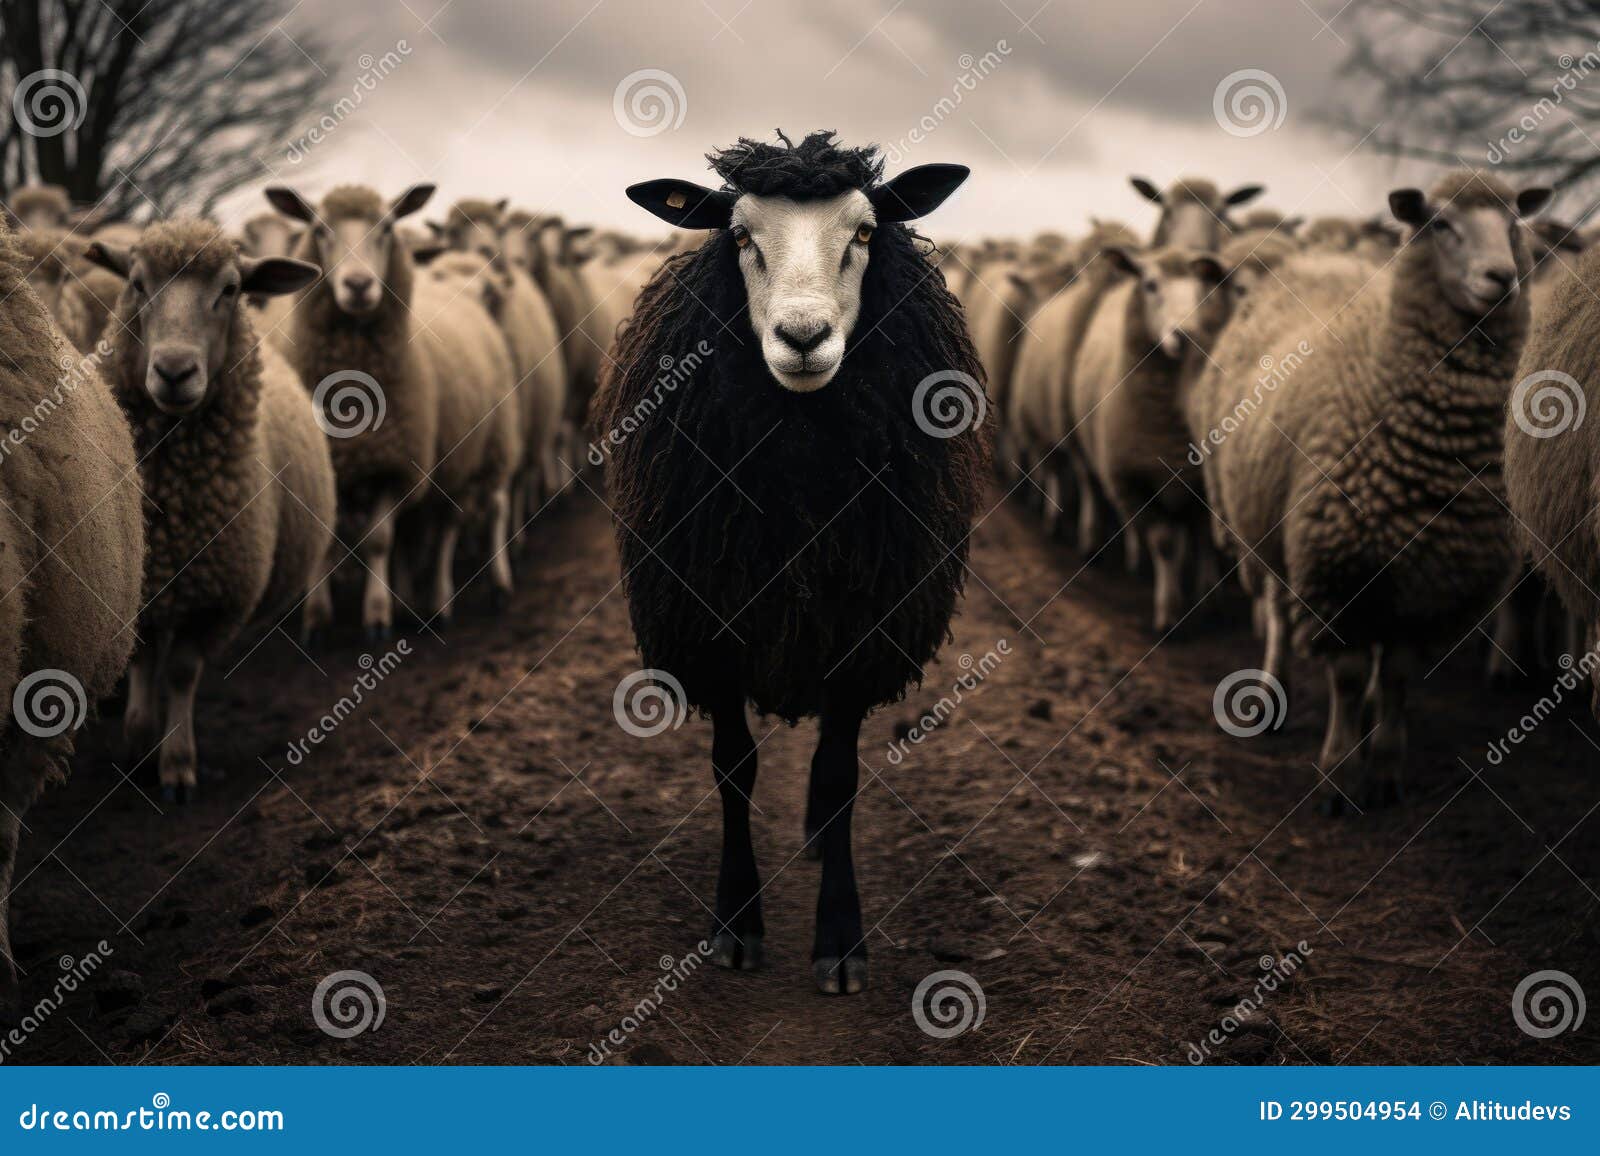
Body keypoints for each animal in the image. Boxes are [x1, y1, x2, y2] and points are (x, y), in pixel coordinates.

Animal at [83, 220, 334, 801]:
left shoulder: (216, 598)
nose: (174, 371)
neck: (176, 505)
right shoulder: (143, 590)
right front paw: (137, 743)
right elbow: (144, 659)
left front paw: (176, 765)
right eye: (136, 283)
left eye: (230, 290)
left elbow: (180, 672)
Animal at [266, 183, 521, 630]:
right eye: (320, 229)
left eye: (386, 228)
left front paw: (377, 617)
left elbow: (379, 540)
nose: (358, 284)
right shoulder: (331, 467)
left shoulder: (397, 464)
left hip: (486, 445)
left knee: (477, 515)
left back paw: (466, 594)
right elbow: (332, 538)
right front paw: (317, 616)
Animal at [598, 131, 984, 994]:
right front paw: (736, 923)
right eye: (741, 236)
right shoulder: (711, 625)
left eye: (866, 233)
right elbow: (732, 767)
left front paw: (840, 939)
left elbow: (839, 777)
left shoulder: (859, 629)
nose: (803, 338)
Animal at [1200, 171, 1550, 810]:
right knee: (1278, 614)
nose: (1501, 278)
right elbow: (1346, 673)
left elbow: (1396, 675)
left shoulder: (1433, 586)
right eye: (1440, 222)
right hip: (1263, 527)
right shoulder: (1337, 571)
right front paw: (1337, 777)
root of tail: (1317, 260)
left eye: (1514, 222)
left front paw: (1385, 769)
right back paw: (1273, 687)